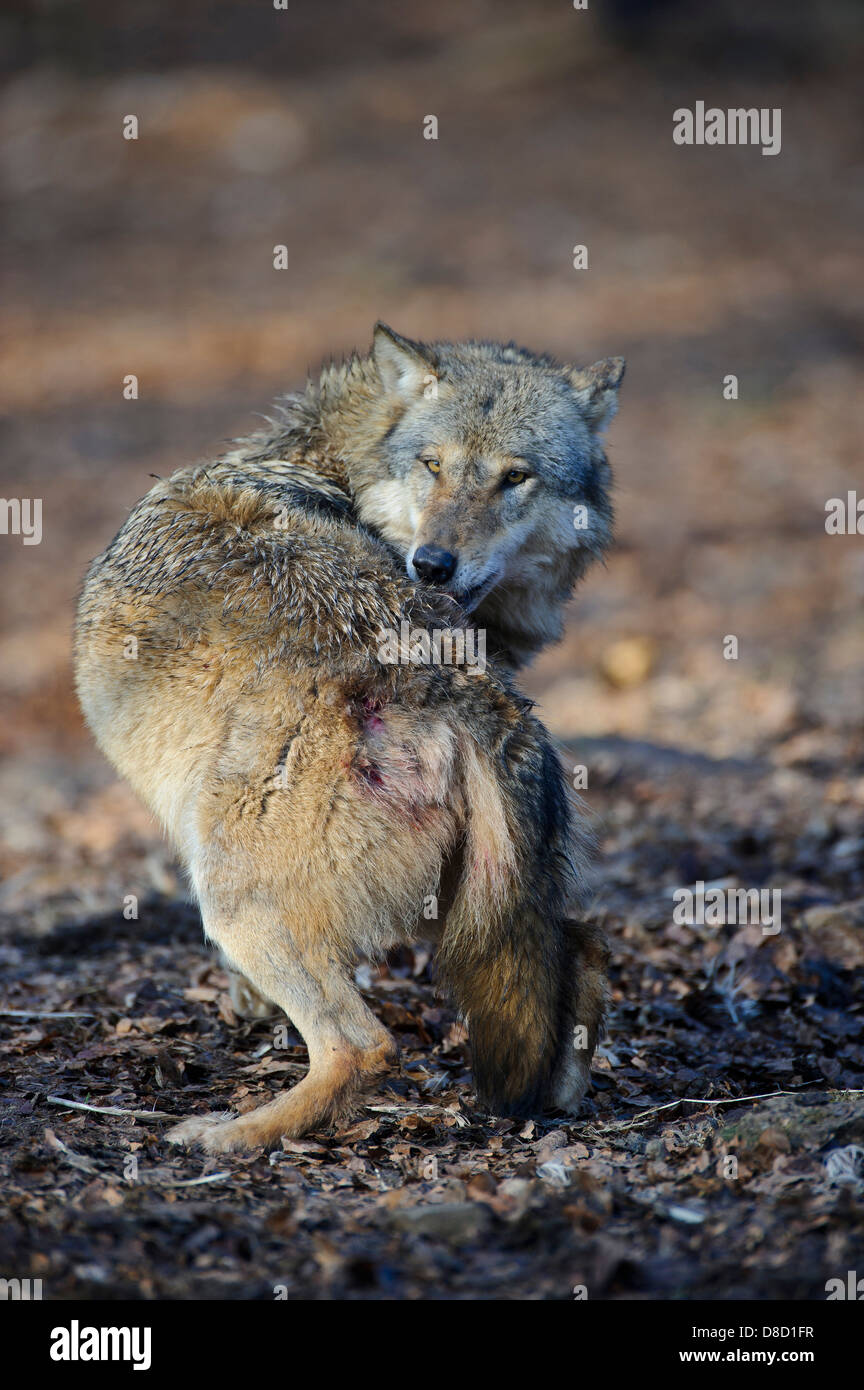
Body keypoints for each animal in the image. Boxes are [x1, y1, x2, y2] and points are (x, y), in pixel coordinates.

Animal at [74, 324, 623, 1154]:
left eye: (515, 478)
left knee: (362, 1046)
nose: (434, 564)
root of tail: (461, 694)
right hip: (485, 898)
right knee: (584, 948)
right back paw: (553, 1104)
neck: (326, 458)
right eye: (432, 465)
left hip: (235, 898)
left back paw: (229, 1136)